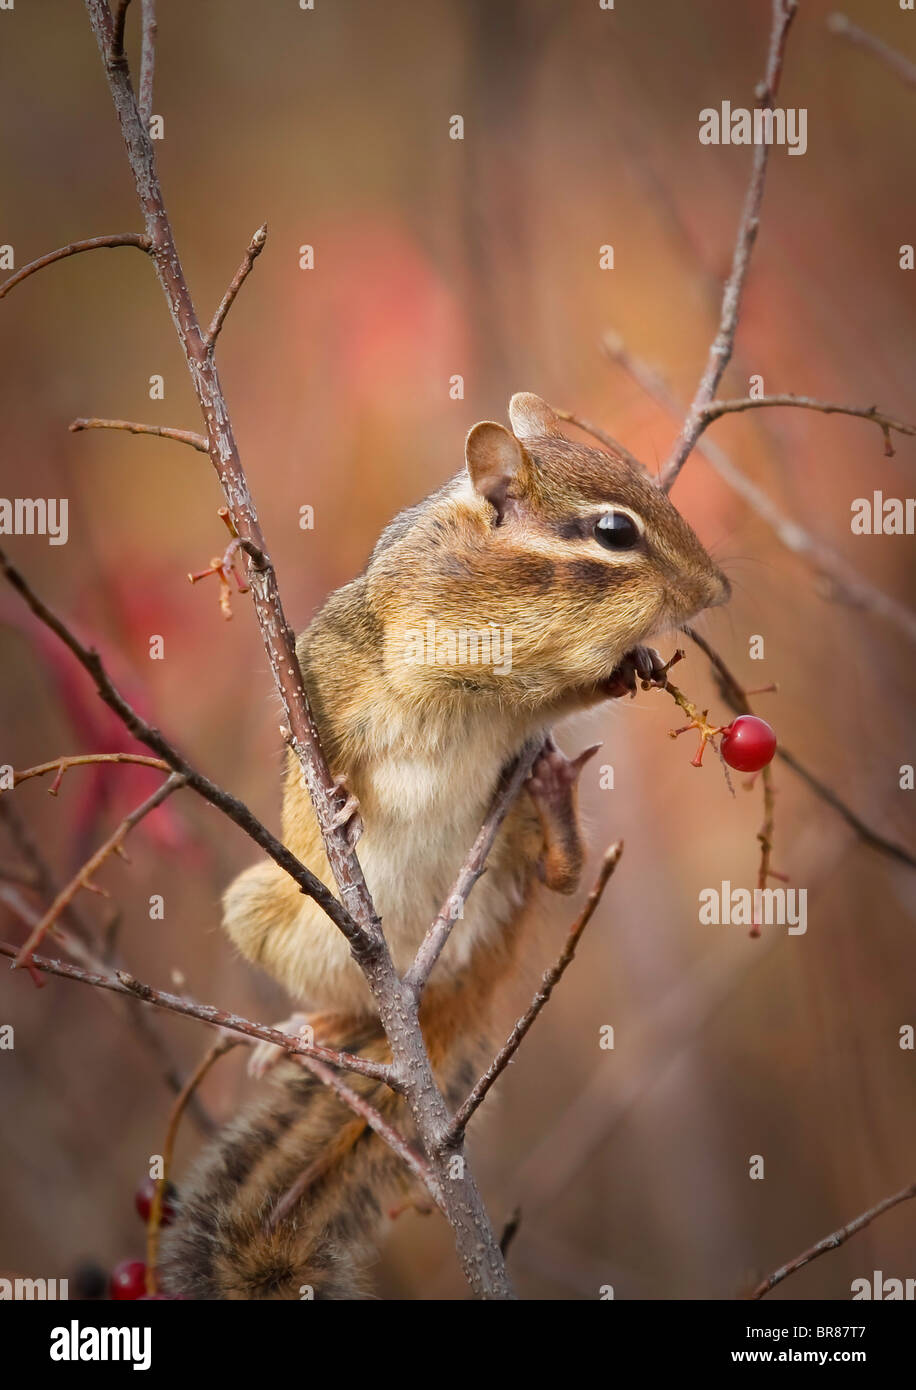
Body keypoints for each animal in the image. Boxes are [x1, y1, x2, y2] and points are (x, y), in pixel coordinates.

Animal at [160, 392, 729, 1299]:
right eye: (614, 531)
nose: (718, 588)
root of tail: (454, 980)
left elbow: (545, 694)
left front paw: (627, 663)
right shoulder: (416, 634)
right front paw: (336, 796)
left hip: (508, 855)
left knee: (554, 877)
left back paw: (557, 816)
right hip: (262, 912)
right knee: (354, 1007)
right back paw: (321, 1029)